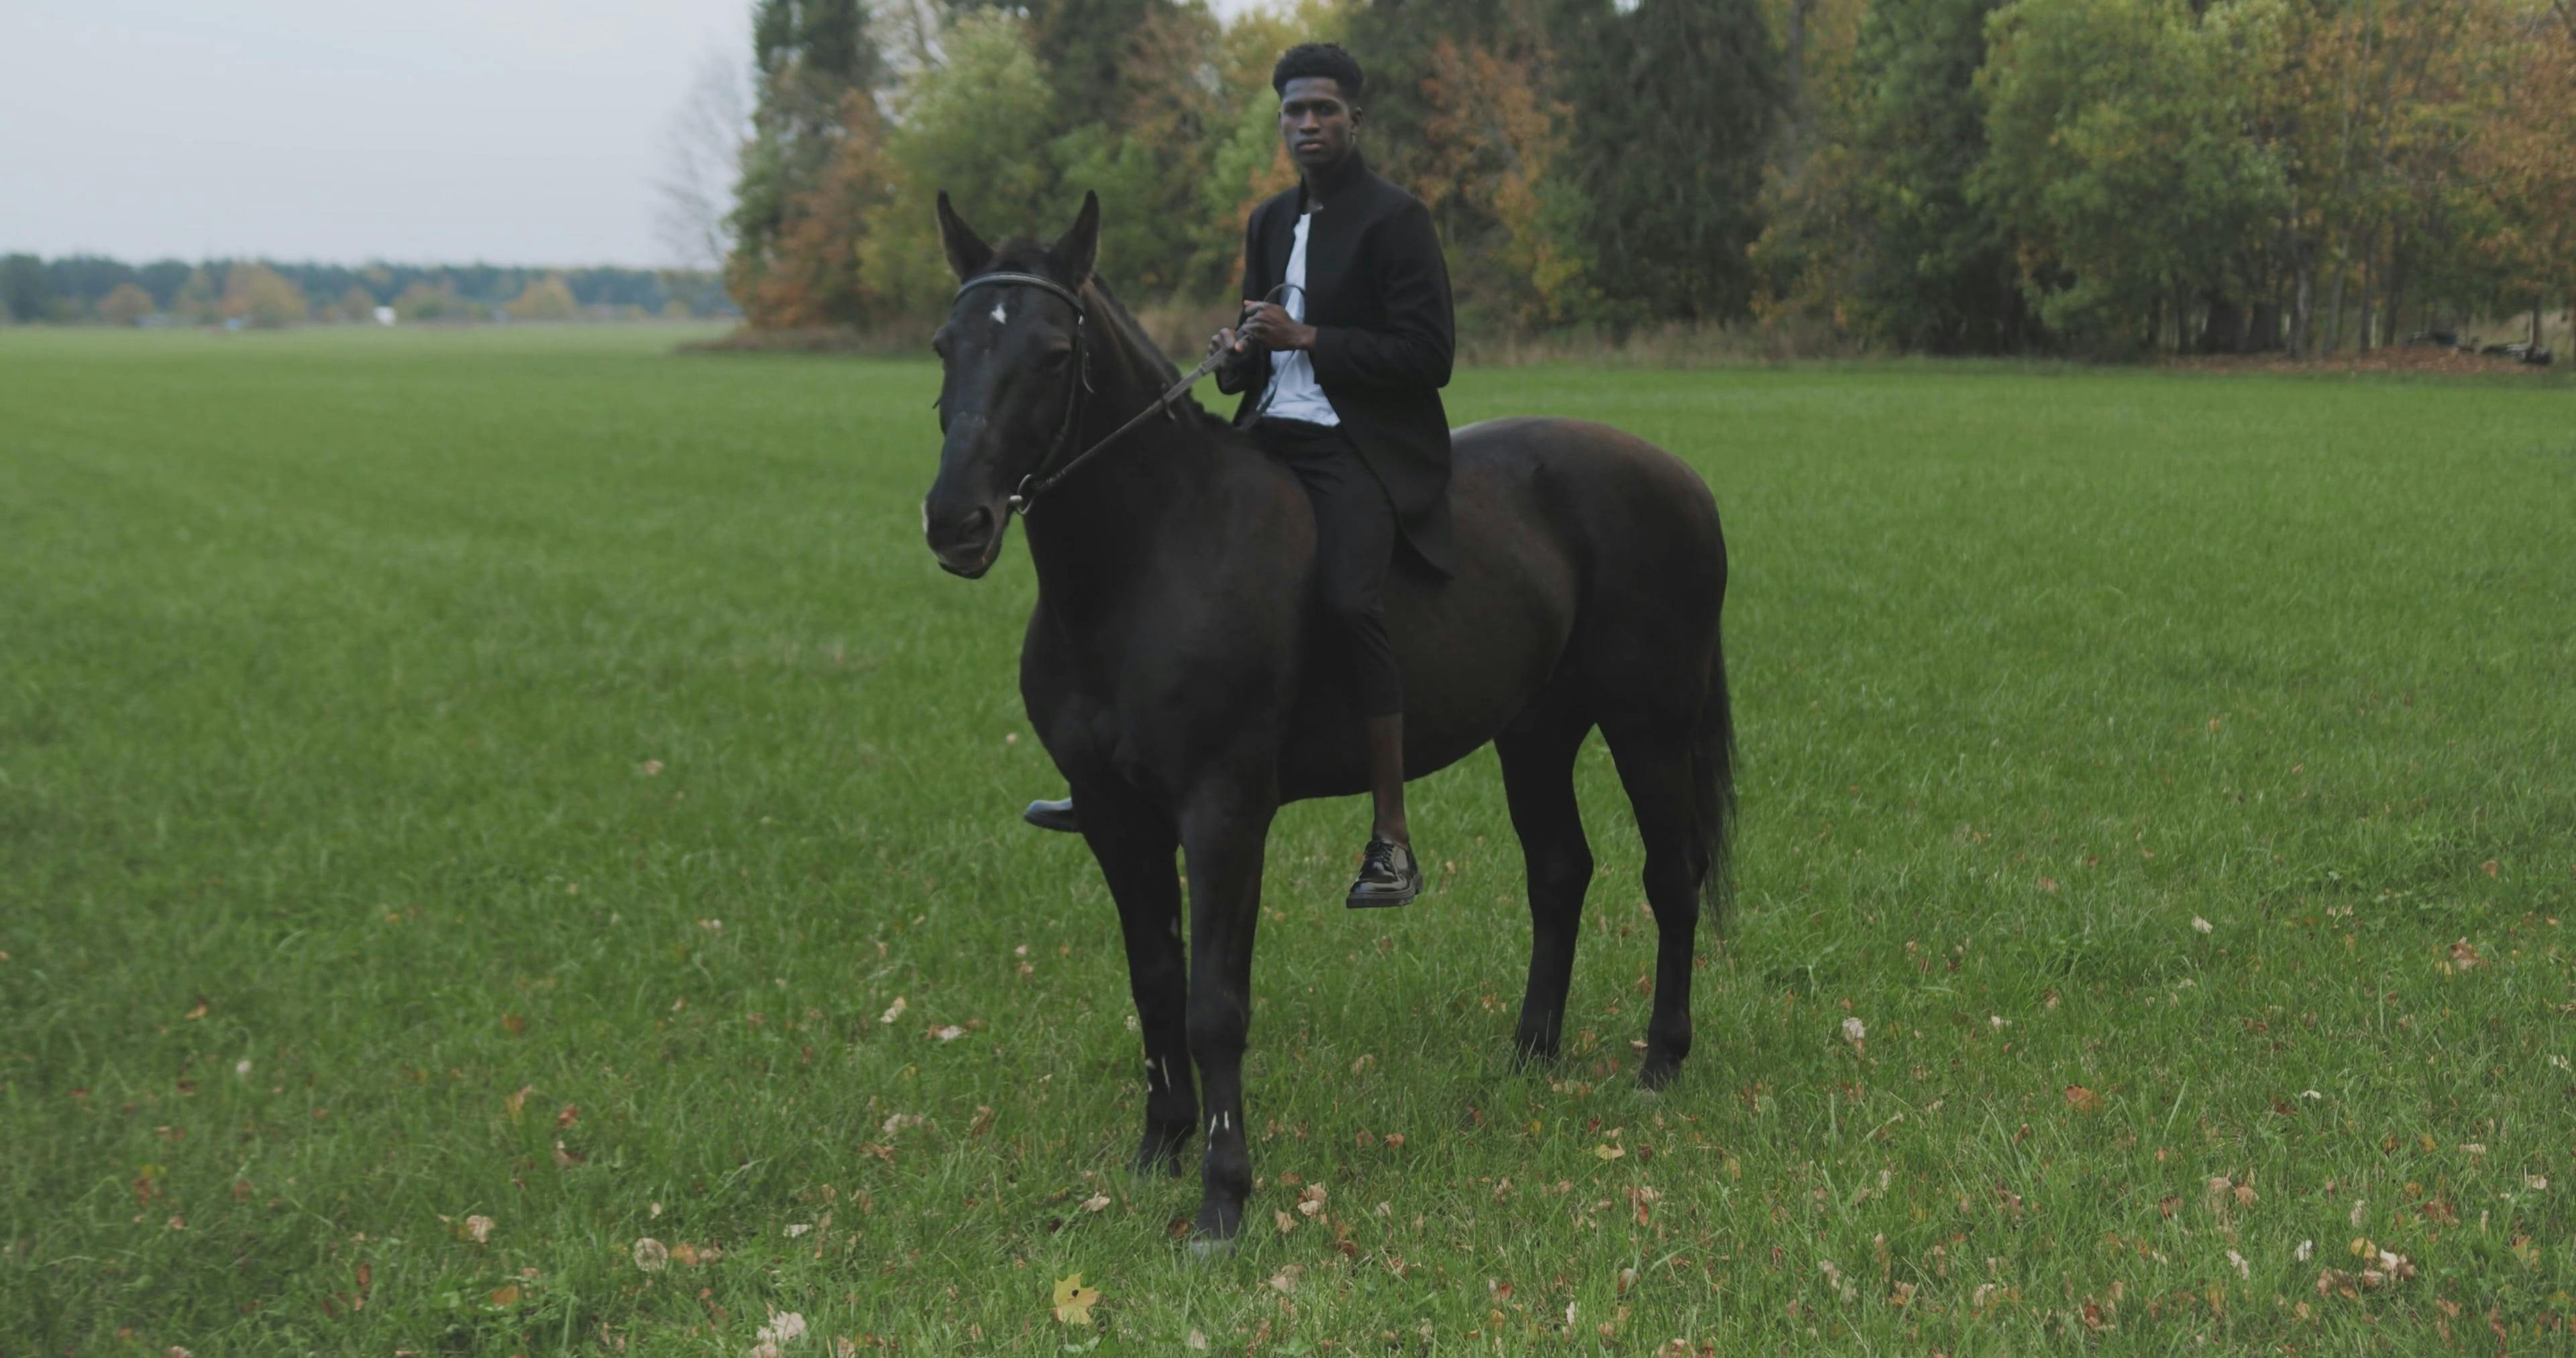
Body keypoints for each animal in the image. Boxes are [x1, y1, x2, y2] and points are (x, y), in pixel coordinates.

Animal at [919, 191, 1735, 1245]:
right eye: (947, 344)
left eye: (1056, 353)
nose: (956, 521)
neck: (1149, 558)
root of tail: (1682, 479)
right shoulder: (1113, 817)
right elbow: (1154, 984)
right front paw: (1157, 1150)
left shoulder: (1223, 815)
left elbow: (1215, 1004)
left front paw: (1223, 1196)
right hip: (1534, 734)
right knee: (1560, 874)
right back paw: (1529, 1056)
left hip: (1649, 727)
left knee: (1670, 879)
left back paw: (1660, 1060)